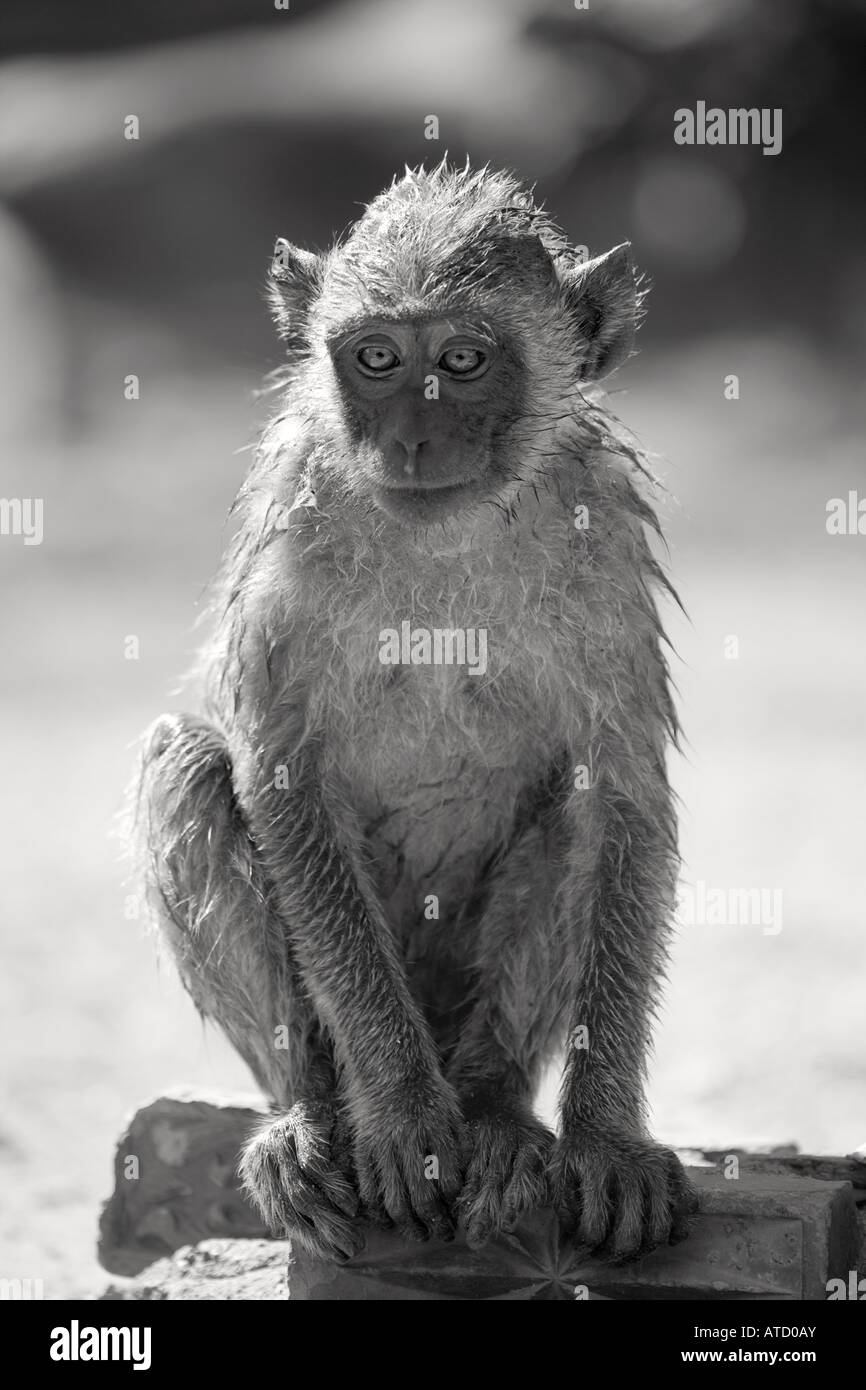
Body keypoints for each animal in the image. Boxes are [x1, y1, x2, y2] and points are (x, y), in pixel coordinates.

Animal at [134, 162, 698, 1266]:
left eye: (464, 360)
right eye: (378, 358)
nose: (411, 436)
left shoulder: (605, 528)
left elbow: (620, 801)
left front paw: (607, 1140)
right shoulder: (295, 511)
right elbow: (280, 784)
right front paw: (399, 1112)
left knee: (571, 810)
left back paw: (493, 1112)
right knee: (190, 763)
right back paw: (315, 1113)